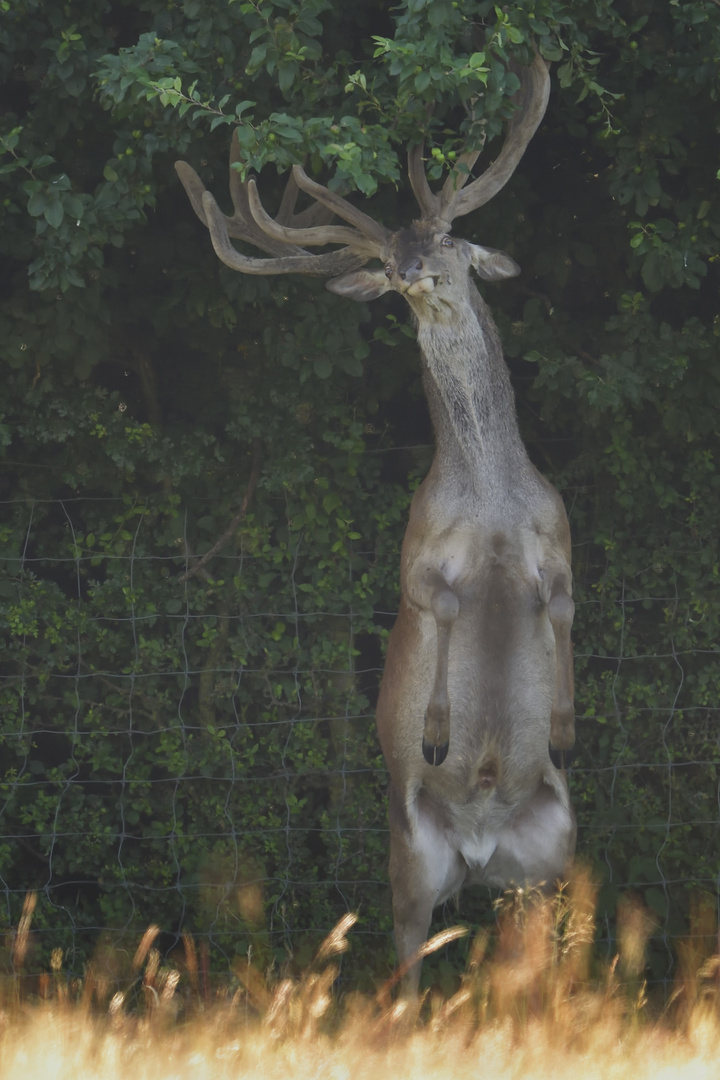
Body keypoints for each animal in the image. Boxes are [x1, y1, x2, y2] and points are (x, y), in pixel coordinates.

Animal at [177, 52, 578, 993]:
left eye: (451, 242)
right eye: (392, 253)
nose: (406, 268)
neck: (494, 501)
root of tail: (480, 850)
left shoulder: (560, 539)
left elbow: (563, 608)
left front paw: (563, 725)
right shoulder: (418, 553)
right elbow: (439, 604)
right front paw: (433, 730)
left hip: (552, 858)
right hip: (409, 864)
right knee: (404, 971)